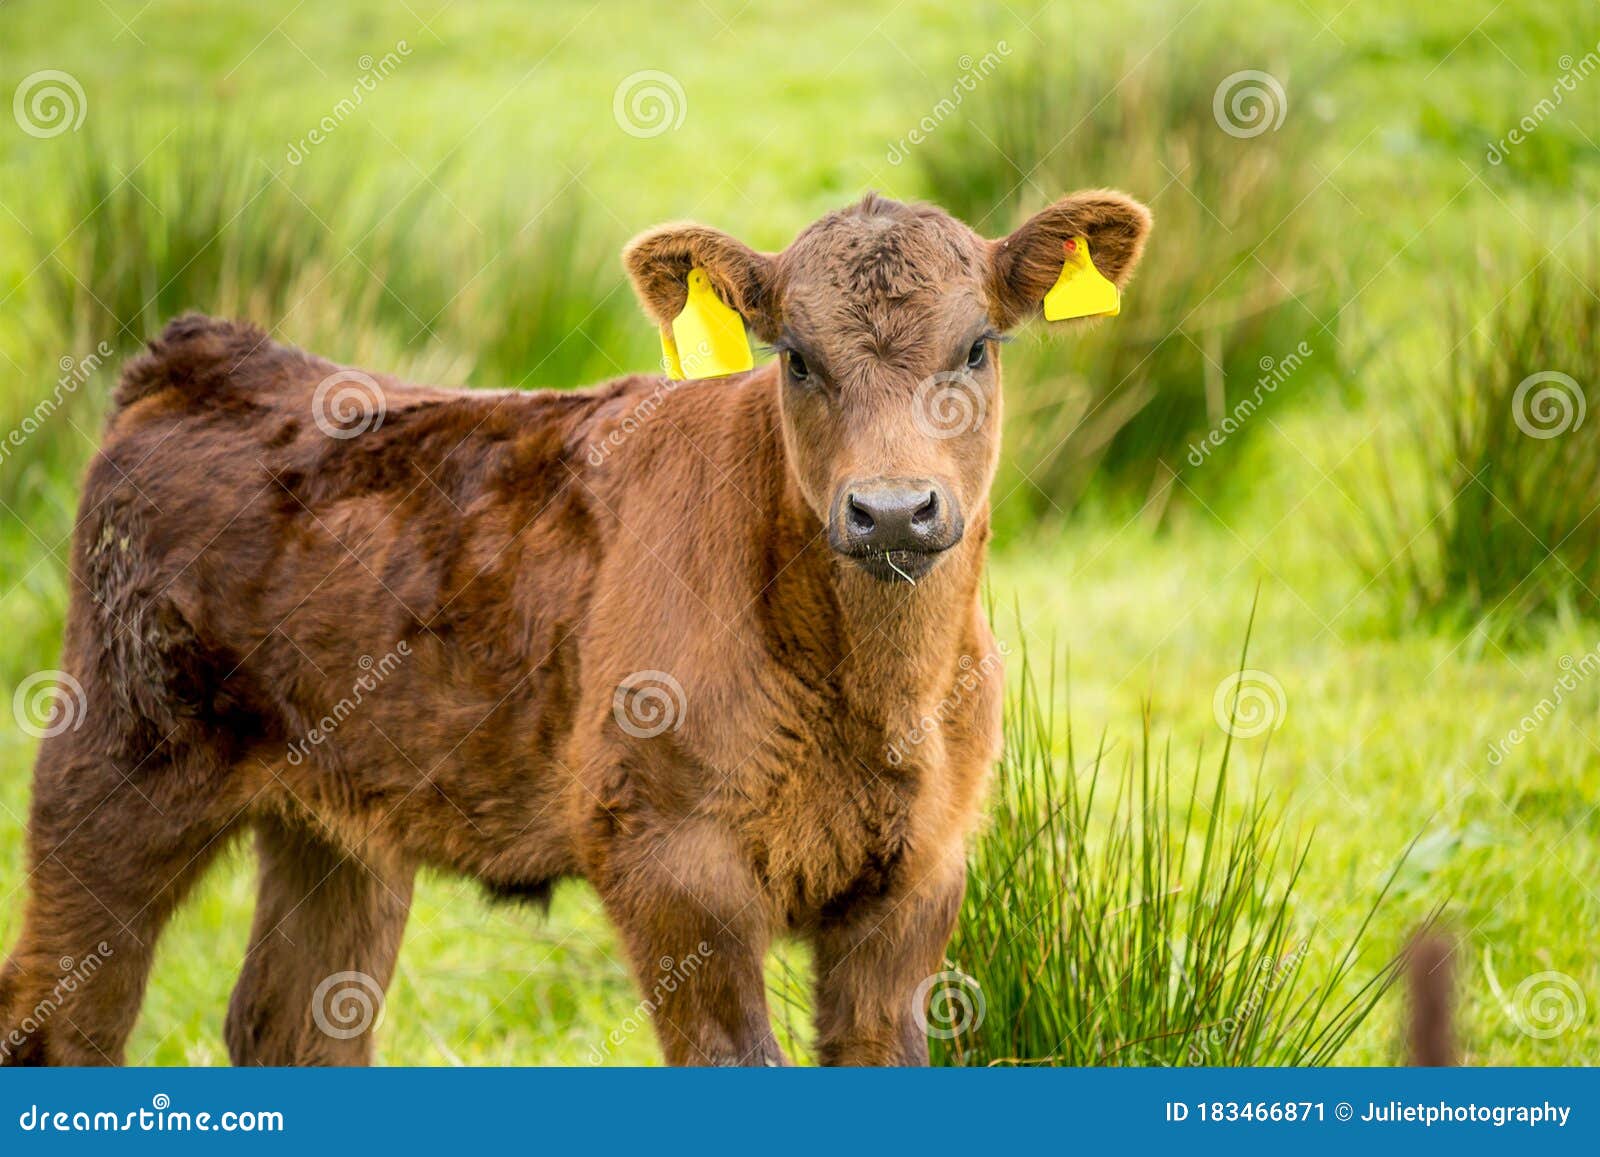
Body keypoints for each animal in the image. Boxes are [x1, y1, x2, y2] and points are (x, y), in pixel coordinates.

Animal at [0, 189, 1150, 1066]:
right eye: (795, 358)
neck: (876, 694)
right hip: (112, 772)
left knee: (294, 1026)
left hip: (333, 821)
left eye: (978, 346)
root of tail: (206, 357)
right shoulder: (670, 862)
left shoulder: (918, 876)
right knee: (60, 1020)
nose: (894, 510)